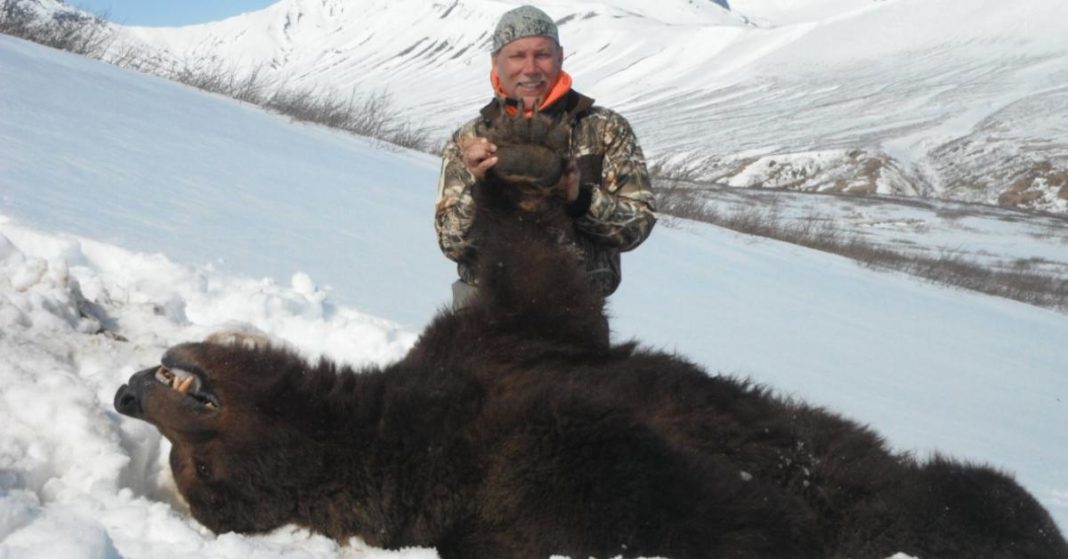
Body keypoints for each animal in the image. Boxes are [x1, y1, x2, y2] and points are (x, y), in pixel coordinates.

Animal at [114, 106, 1068, 559]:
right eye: (199, 479)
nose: (128, 390)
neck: (391, 422)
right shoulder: (504, 478)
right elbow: (663, 496)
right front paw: (765, 506)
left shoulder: (507, 338)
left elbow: (536, 267)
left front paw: (521, 148)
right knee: (948, 503)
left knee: (979, 489)